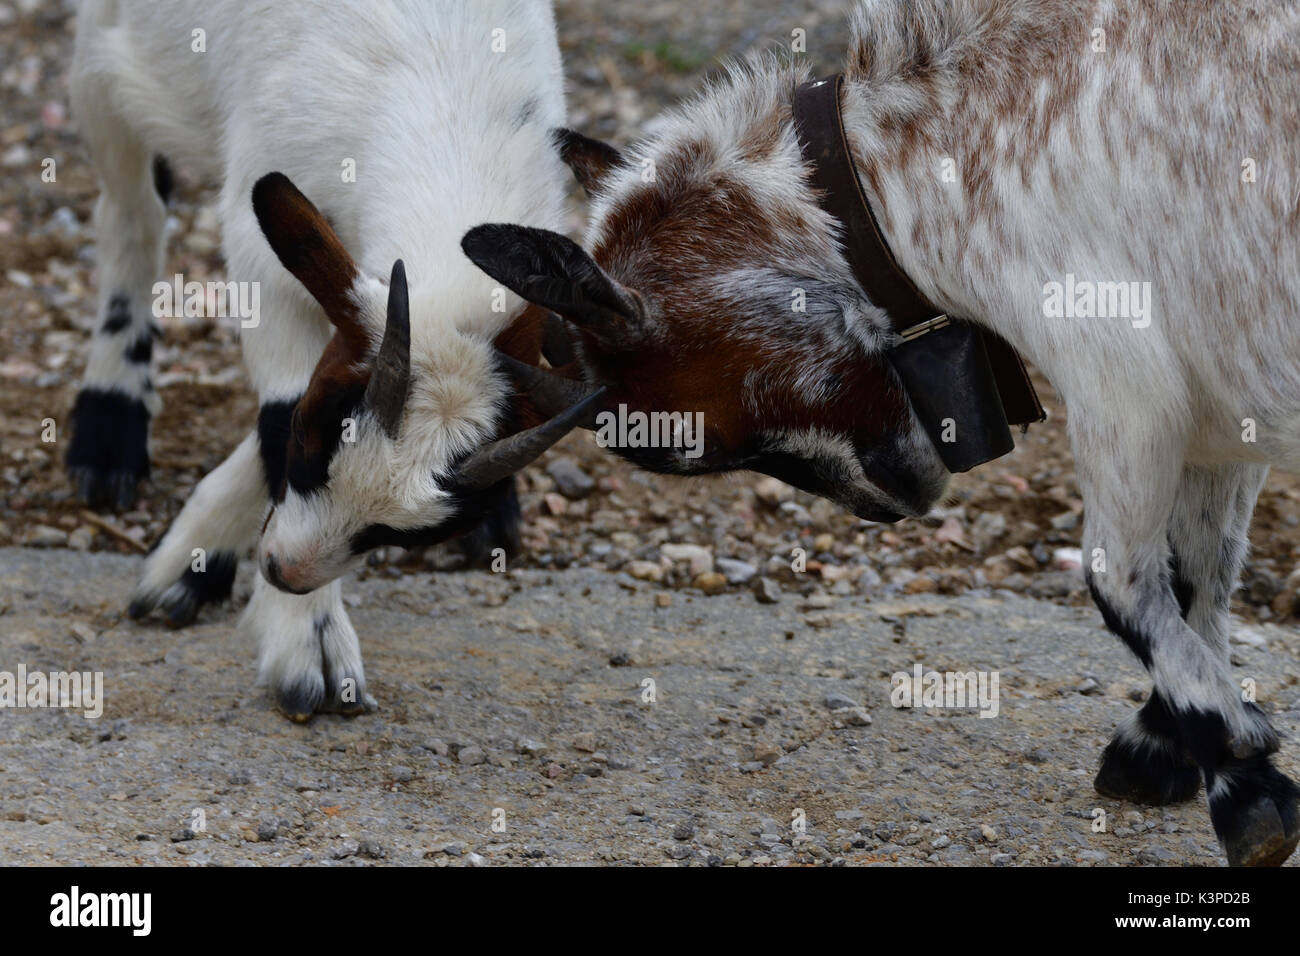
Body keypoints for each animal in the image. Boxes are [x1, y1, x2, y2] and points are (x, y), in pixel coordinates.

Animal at [66, 0, 598, 720]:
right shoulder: (262, 236)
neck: (442, 88)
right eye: (305, 440)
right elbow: (275, 402)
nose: (280, 573)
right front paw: (309, 647)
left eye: (399, 535)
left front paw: (199, 564)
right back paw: (107, 429)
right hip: (113, 55)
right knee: (130, 204)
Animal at [465, 0, 1300, 865]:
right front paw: (1164, 747)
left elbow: (1119, 578)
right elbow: (1199, 567)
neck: (935, 149)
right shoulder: (1217, 411)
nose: (891, 503)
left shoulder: (1124, 386)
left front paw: (1242, 782)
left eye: (698, 443)